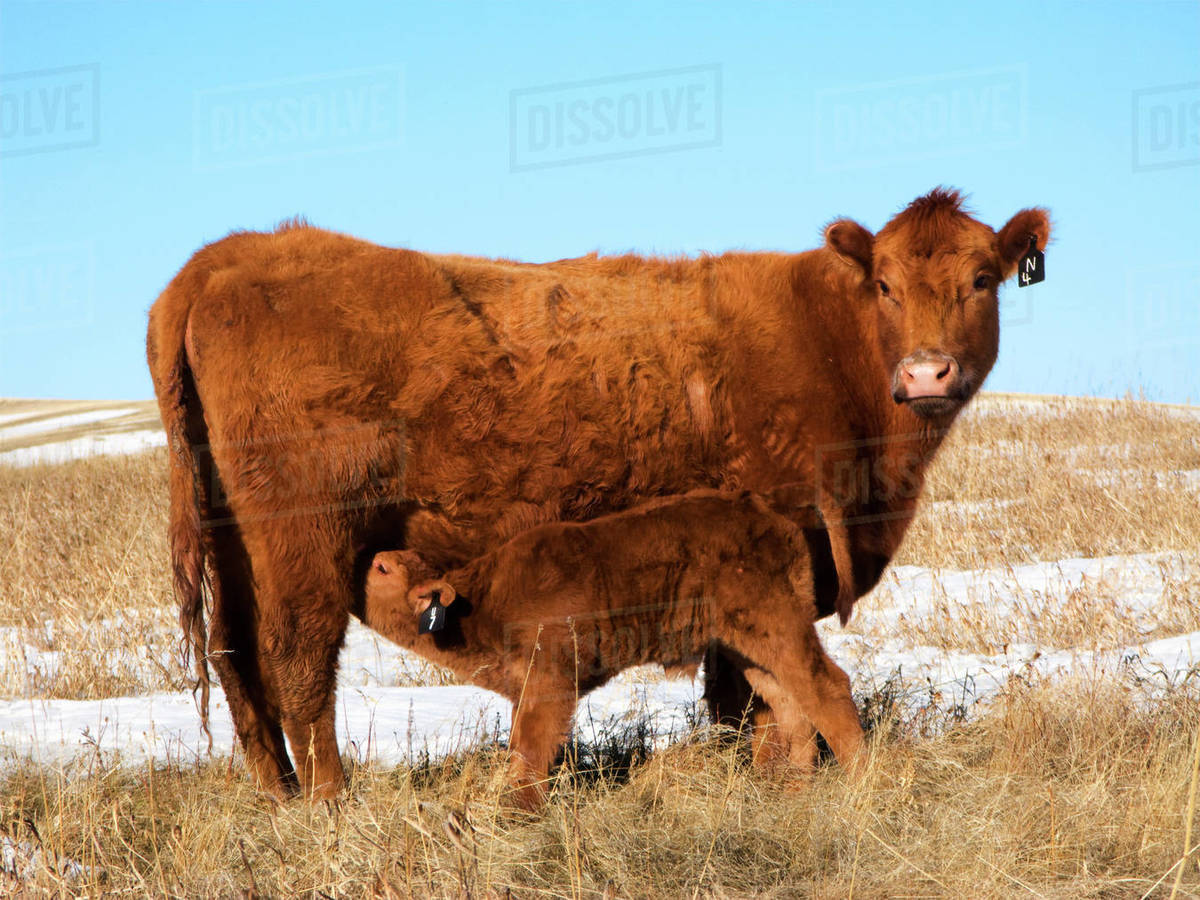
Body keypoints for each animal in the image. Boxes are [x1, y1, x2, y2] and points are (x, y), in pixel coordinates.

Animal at [361, 490, 864, 810]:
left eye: (384, 569)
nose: (369, 558)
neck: (481, 600)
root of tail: (769, 516)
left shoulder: (548, 685)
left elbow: (530, 752)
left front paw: (517, 813)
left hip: (779, 628)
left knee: (826, 685)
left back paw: (863, 775)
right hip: (748, 644)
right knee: (789, 701)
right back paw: (796, 790)